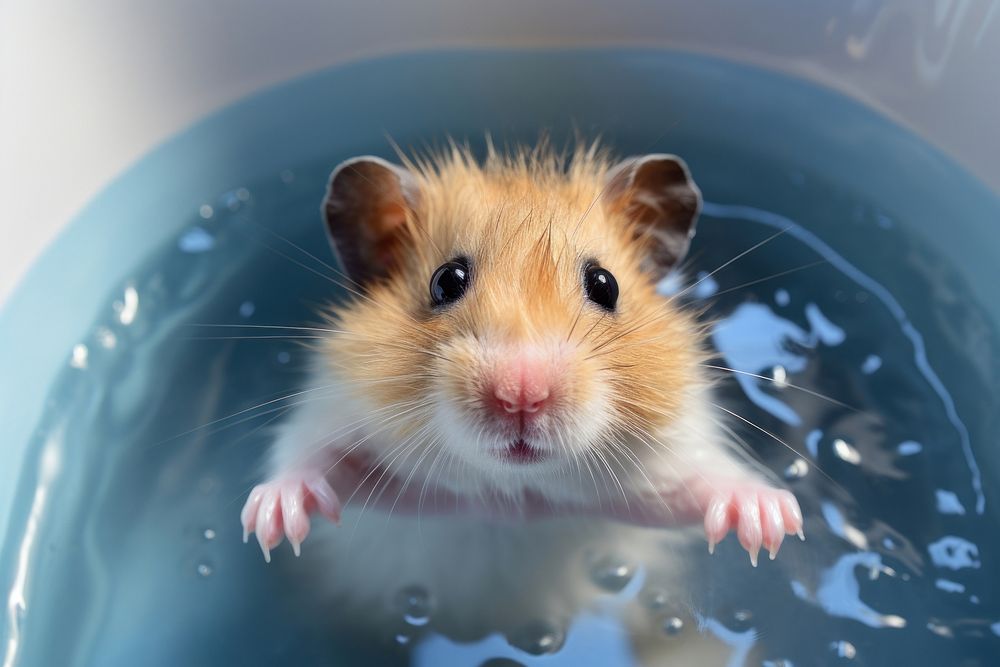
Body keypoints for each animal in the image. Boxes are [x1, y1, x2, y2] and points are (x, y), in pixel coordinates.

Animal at [239, 142, 804, 648]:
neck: (517, 494)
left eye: (606, 284)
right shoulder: (337, 411)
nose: (521, 396)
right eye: (446, 281)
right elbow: (311, 459)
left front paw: (776, 524)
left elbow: (709, 482)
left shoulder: (669, 456)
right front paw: (269, 523)